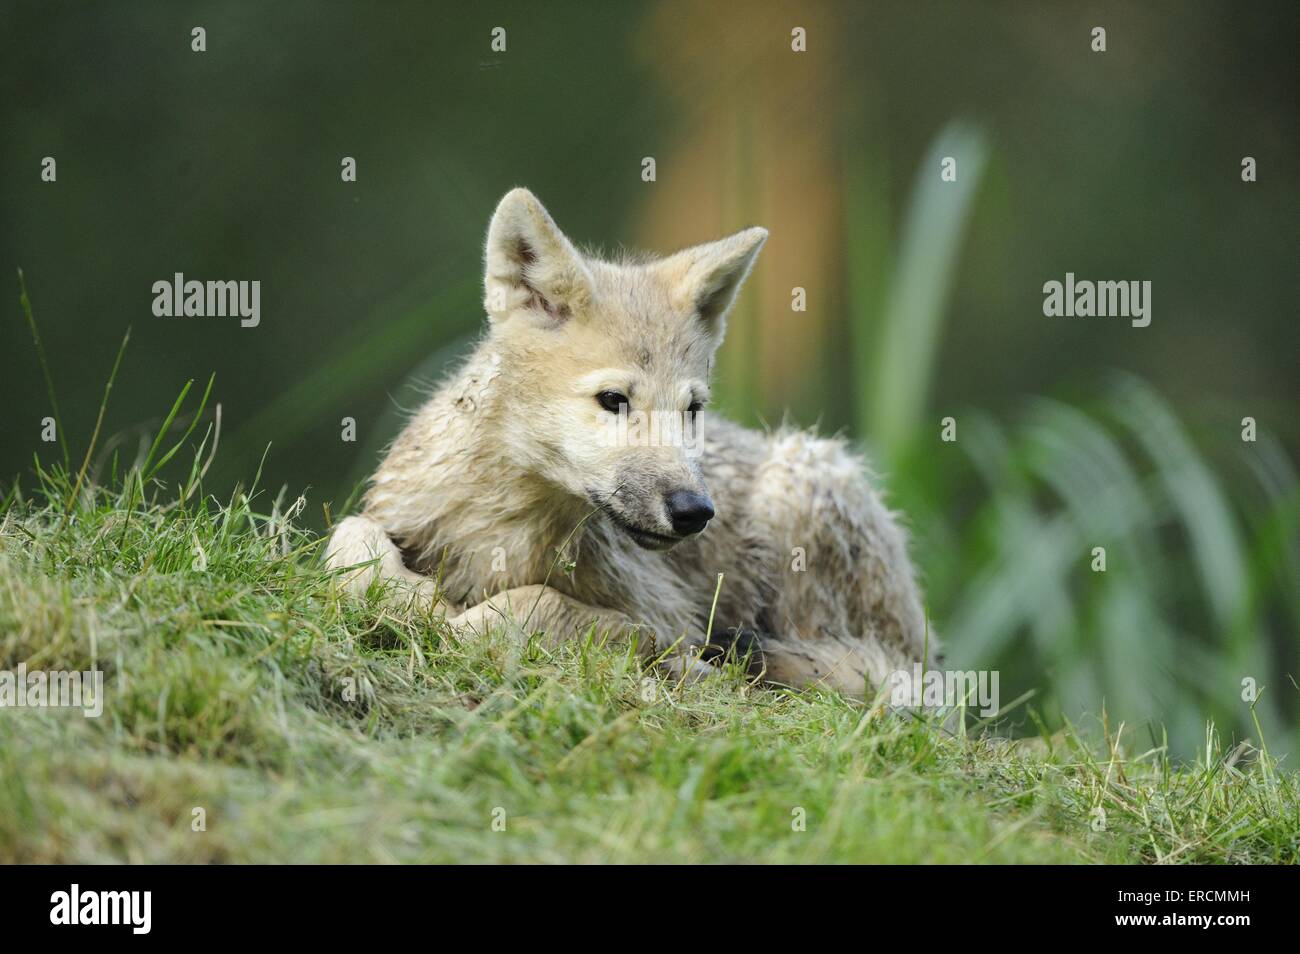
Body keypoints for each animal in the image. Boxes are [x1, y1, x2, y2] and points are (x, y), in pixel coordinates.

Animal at [326, 188, 936, 695]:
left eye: (693, 410)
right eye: (613, 400)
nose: (695, 512)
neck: (504, 532)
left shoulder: (663, 618)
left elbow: (531, 608)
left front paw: (456, 621)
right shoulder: (383, 517)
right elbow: (350, 544)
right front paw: (417, 599)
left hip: (805, 483)